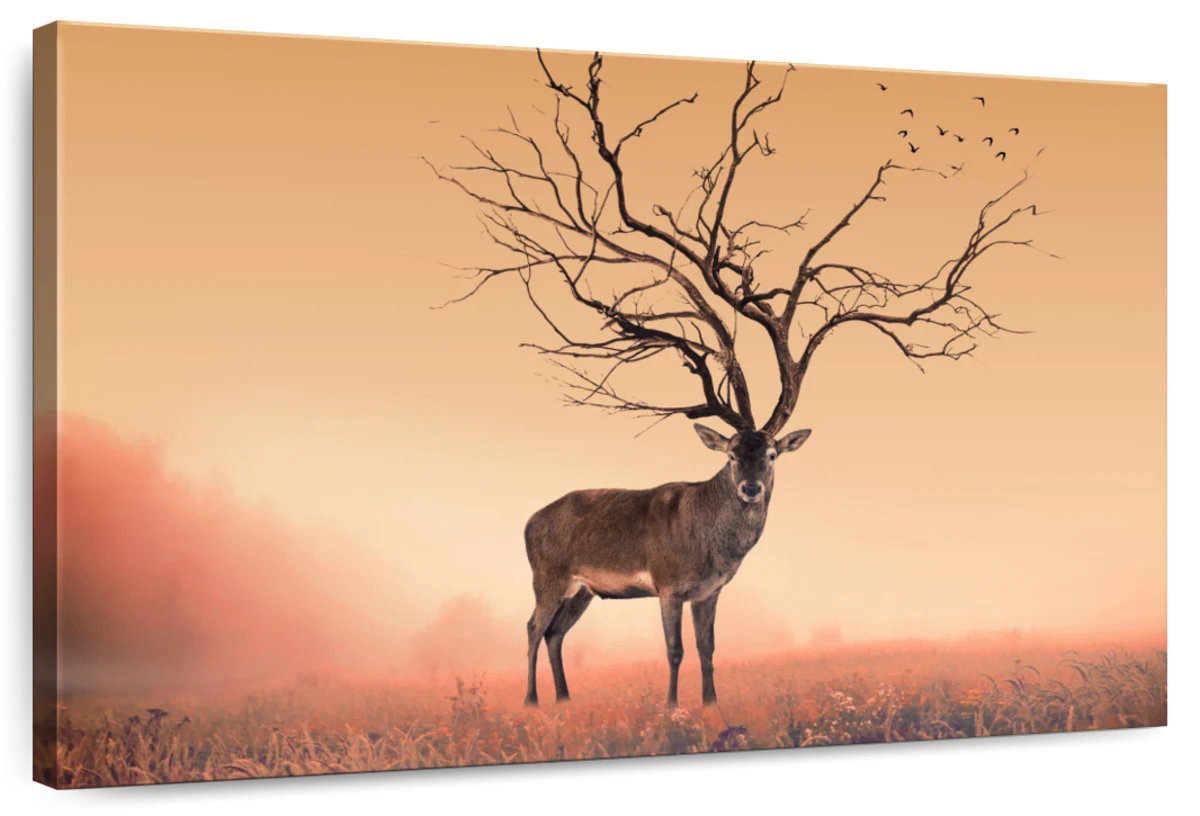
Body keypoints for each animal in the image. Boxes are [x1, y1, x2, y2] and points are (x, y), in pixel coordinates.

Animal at [523, 424, 811, 707]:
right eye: (731, 455)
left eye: (772, 455)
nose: (751, 489)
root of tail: (528, 523)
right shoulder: (668, 585)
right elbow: (675, 649)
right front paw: (671, 705)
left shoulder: (709, 592)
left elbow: (706, 647)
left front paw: (710, 702)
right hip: (547, 578)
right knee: (534, 628)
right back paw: (531, 700)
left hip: (582, 591)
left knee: (555, 633)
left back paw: (564, 698)